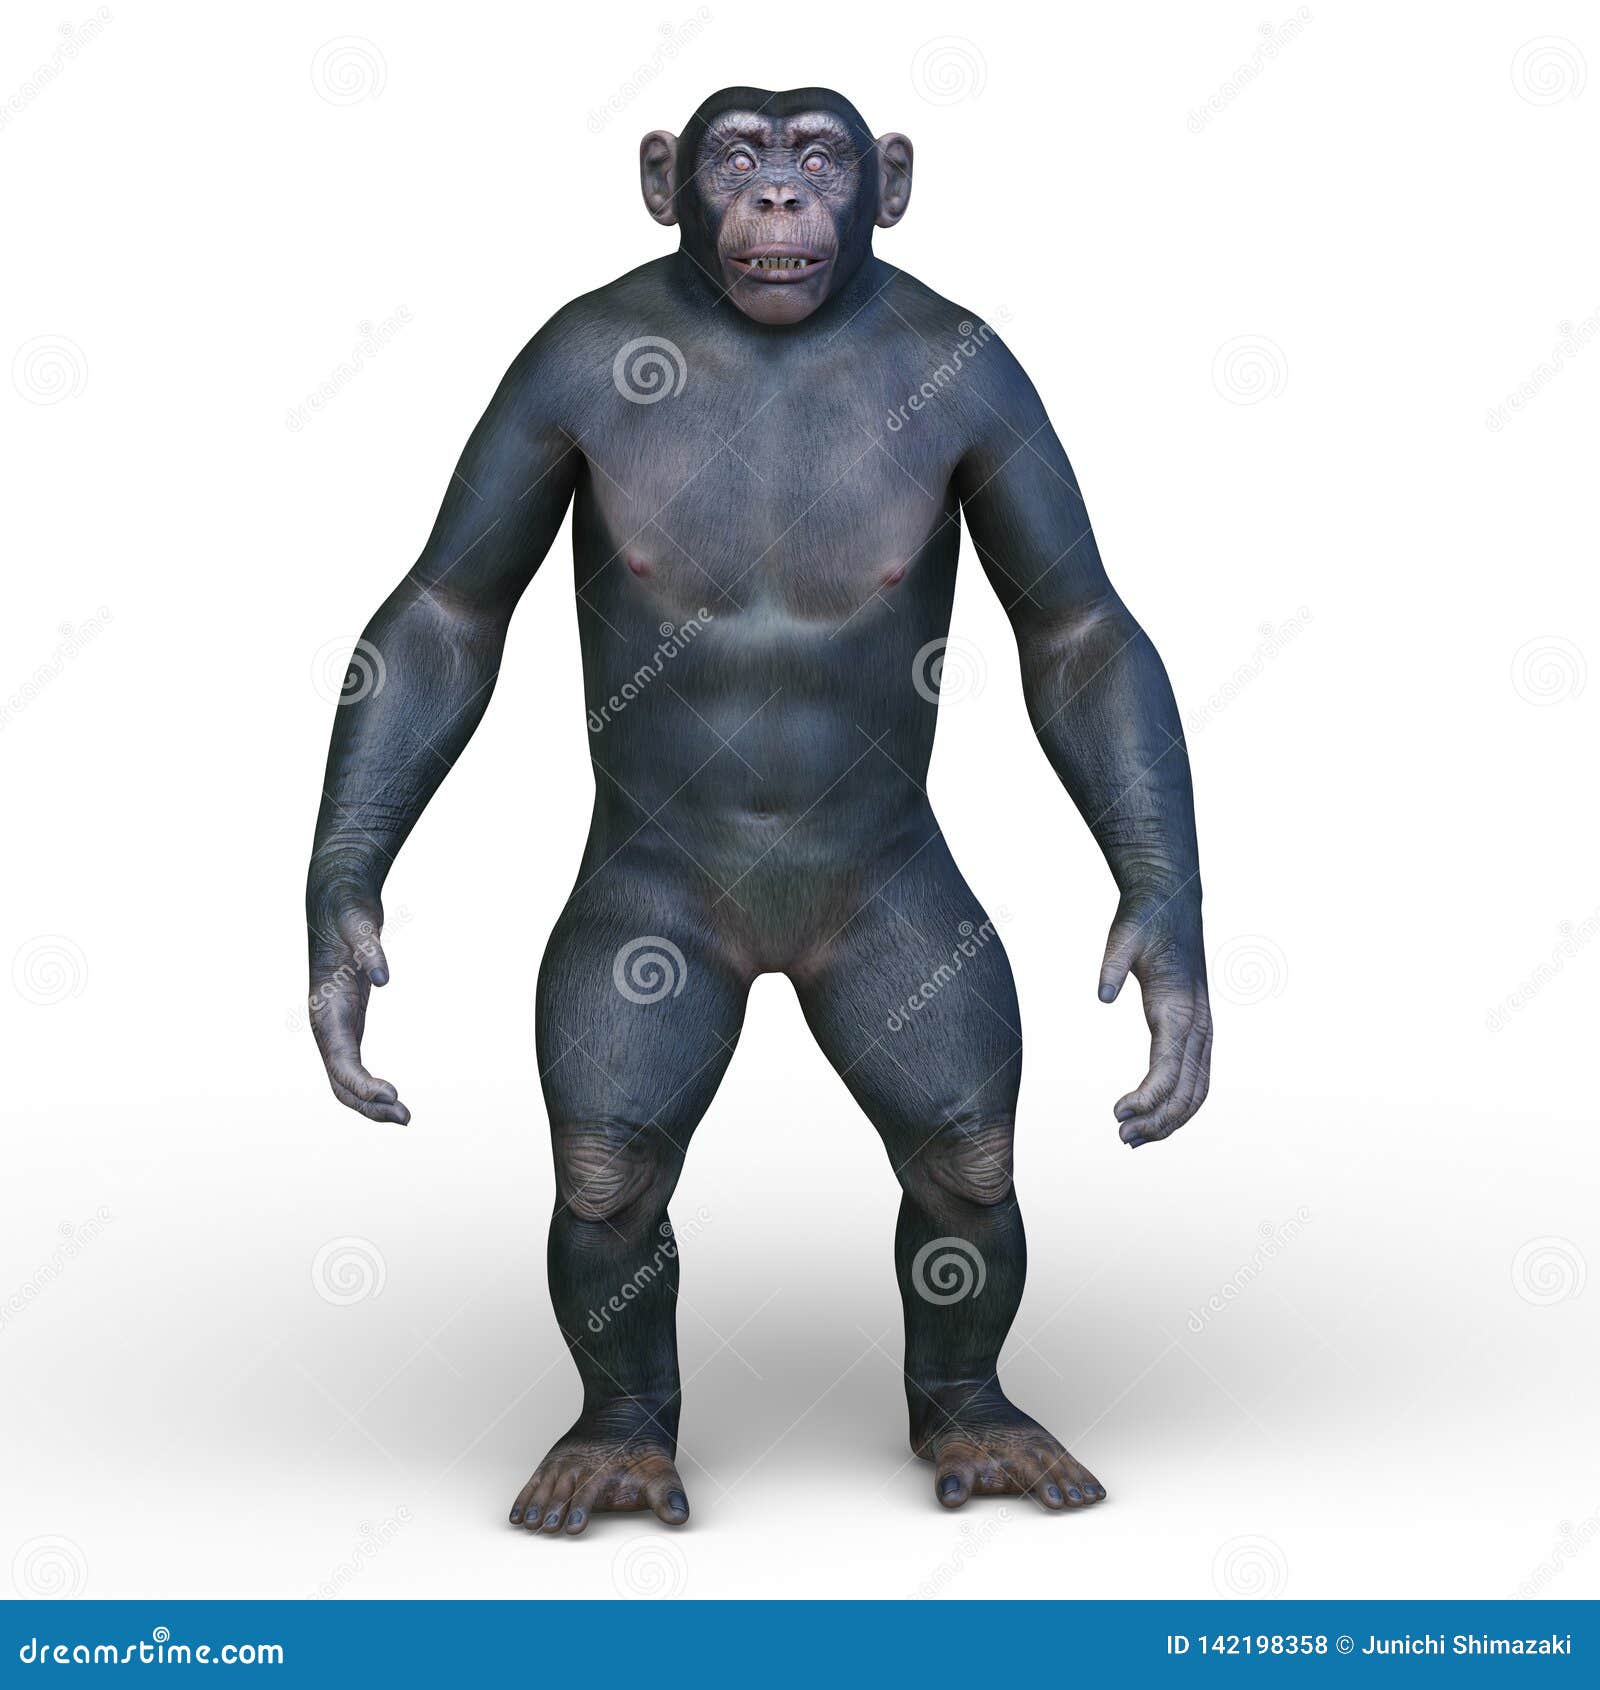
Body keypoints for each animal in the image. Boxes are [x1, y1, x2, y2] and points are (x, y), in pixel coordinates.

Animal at [306, 87, 1211, 1536]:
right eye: (737, 151)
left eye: (822, 153)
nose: (781, 193)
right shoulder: (549, 366)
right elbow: (447, 612)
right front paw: (342, 935)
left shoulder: (990, 378)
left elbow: (1078, 630)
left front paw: (1166, 958)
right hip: (650, 931)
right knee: (613, 1163)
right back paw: (622, 1437)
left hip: (906, 926)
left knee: (956, 1150)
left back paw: (971, 1416)